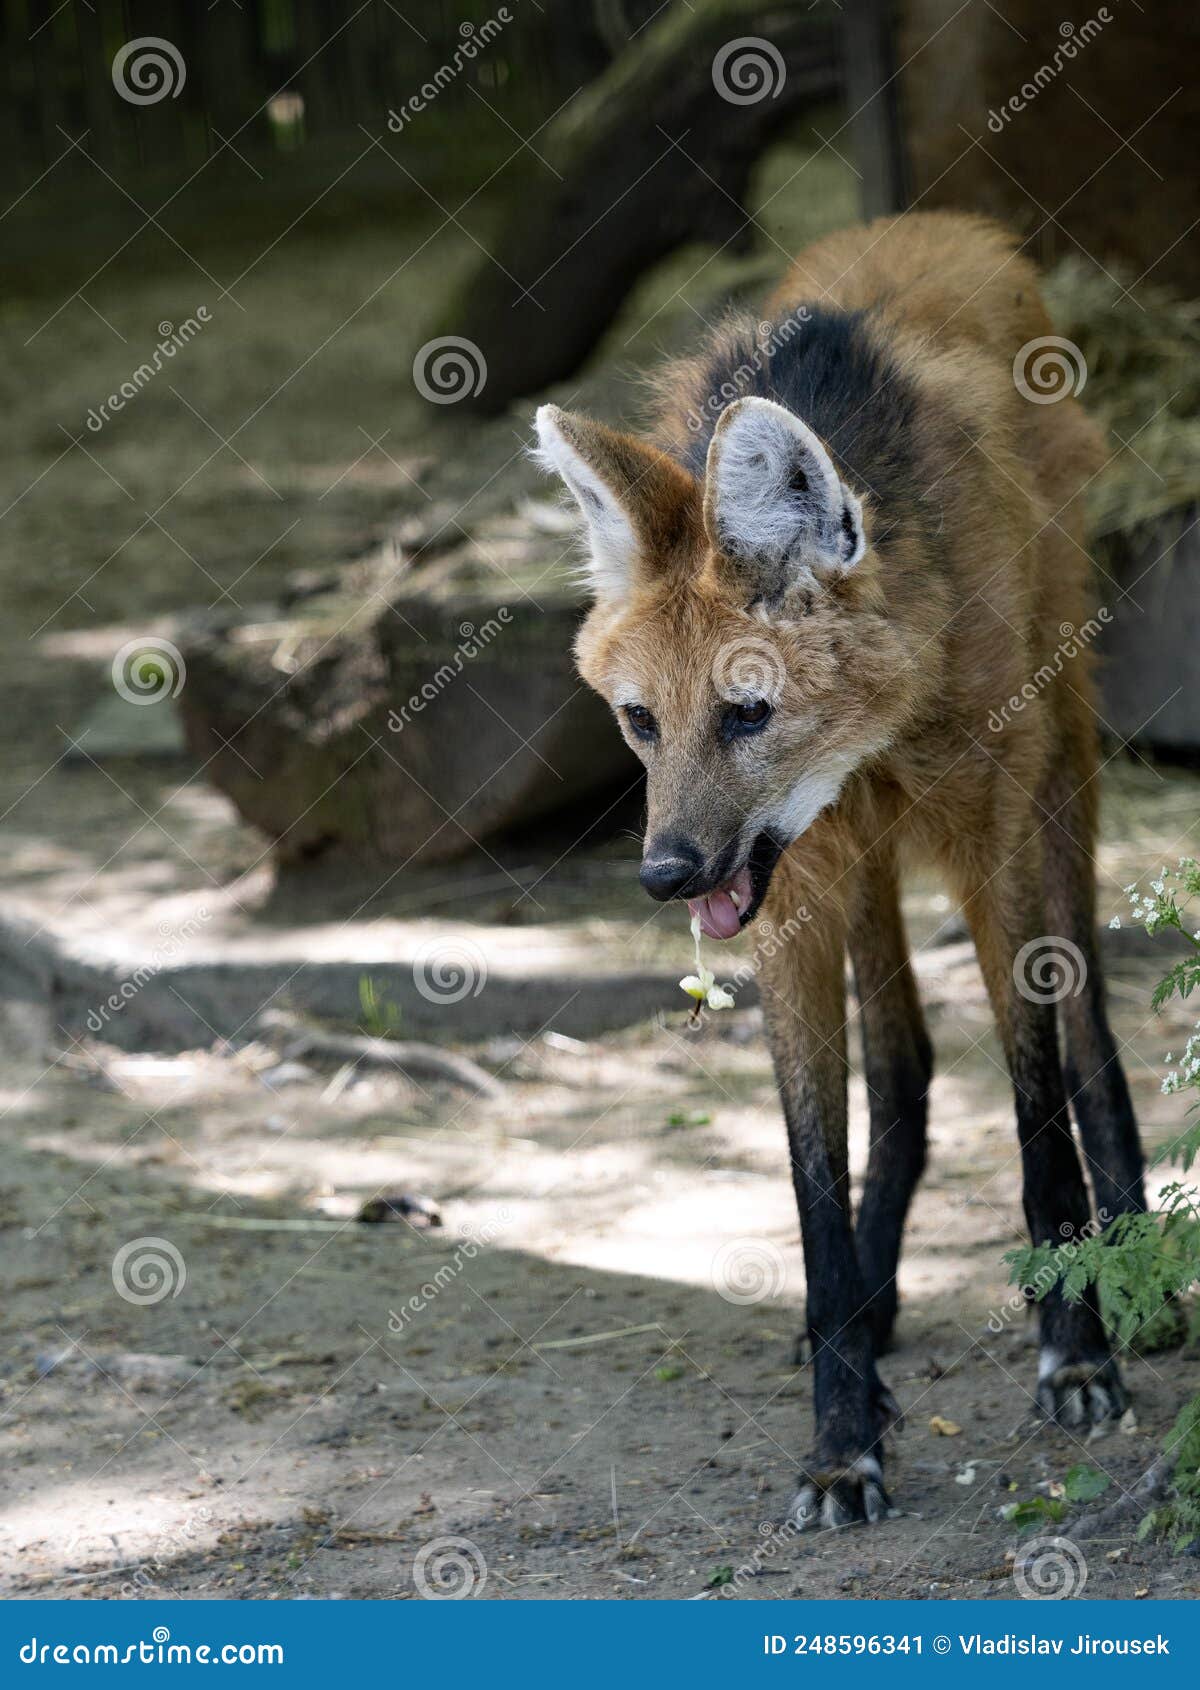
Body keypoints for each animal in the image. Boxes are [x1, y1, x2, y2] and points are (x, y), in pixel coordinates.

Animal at [534, 211, 1145, 1529]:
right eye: (640, 723)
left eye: (748, 712)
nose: (665, 875)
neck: (872, 739)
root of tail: (946, 222)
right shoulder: (792, 888)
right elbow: (811, 1166)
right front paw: (841, 1434)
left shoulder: (984, 828)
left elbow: (1033, 1101)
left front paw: (1076, 1349)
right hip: (860, 865)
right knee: (904, 1056)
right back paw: (877, 1296)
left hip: (1058, 757)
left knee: (1084, 1023)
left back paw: (1134, 1256)